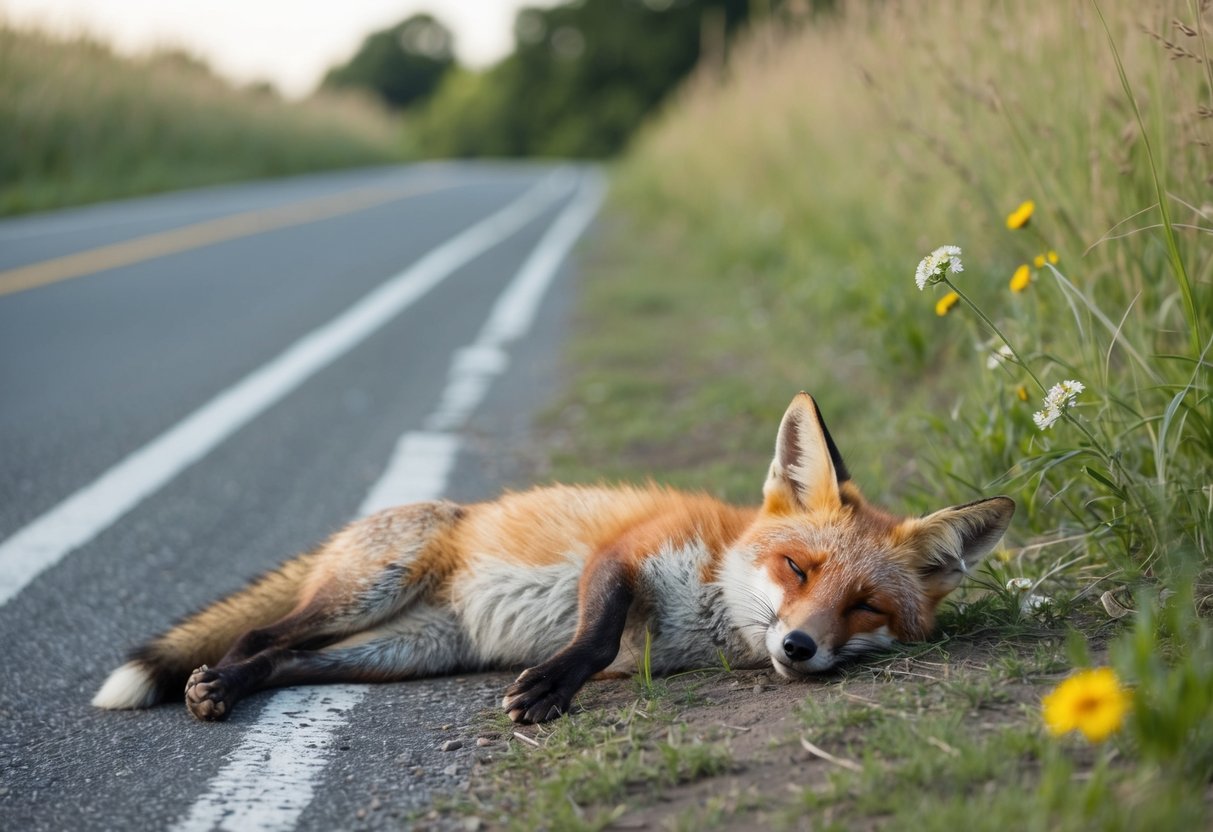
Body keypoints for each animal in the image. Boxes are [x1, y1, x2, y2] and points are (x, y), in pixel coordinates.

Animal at [92, 393, 1014, 724]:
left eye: (865, 608)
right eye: (798, 570)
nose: (798, 646)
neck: (714, 592)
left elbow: (605, 646)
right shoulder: (626, 549)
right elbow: (597, 635)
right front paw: (546, 688)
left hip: (400, 652)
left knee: (286, 661)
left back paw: (232, 687)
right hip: (368, 592)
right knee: (259, 637)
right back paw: (216, 684)